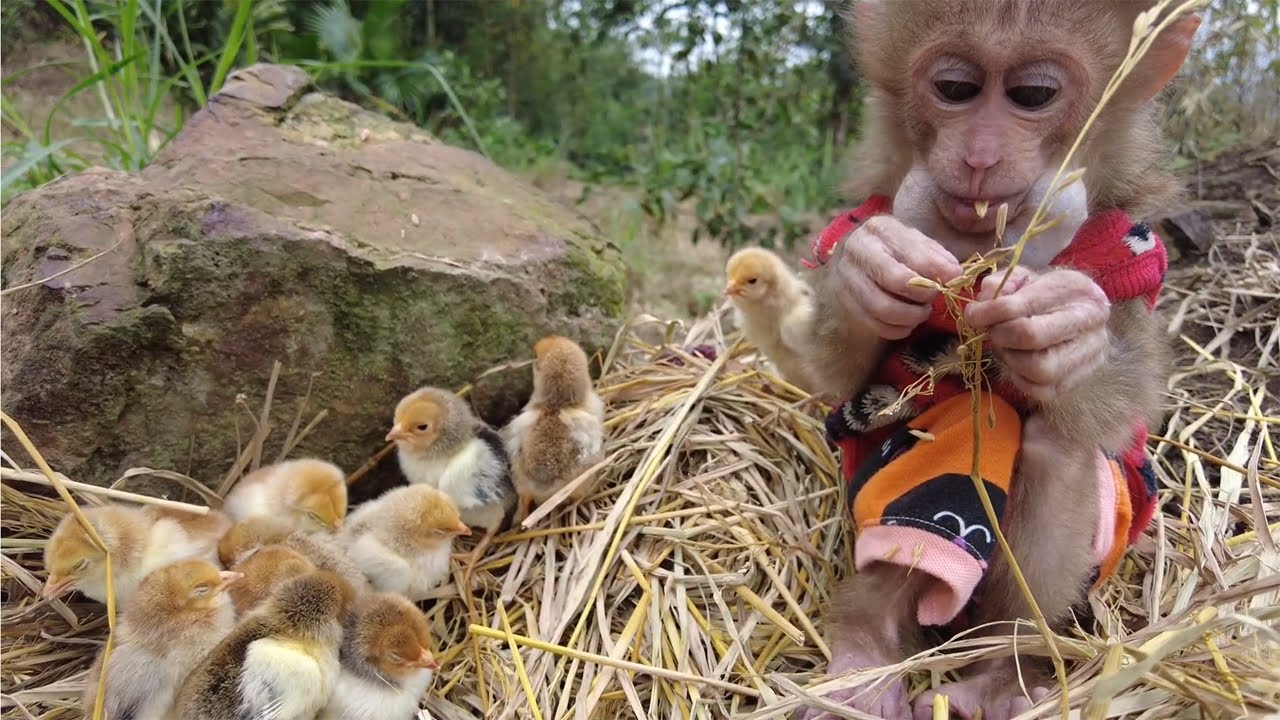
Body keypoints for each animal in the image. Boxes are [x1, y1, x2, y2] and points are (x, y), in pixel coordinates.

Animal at [797, 2, 1198, 719]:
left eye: (1032, 96)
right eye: (954, 89)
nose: (980, 155)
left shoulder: (1134, 249)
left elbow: (1130, 399)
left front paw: (1064, 331)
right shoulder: (864, 211)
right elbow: (834, 375)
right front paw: (869, 270)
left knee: (1057, 445)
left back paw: (1003, 668)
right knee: (953, 427)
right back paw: (867, 659)